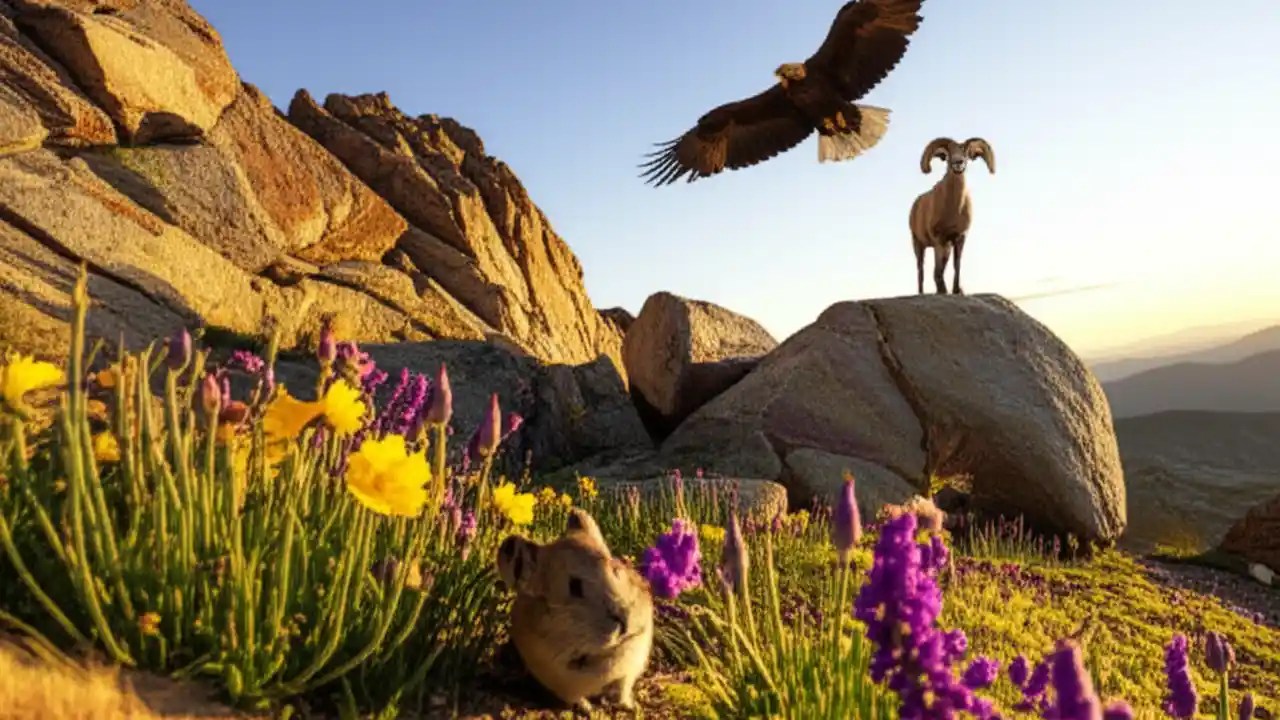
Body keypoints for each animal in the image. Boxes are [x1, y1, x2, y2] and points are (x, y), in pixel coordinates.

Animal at [908, 137, 996, 295]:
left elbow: (956, 265)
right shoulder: (938, 239)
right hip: (918, 244)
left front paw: (956, 290)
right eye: (949, 154)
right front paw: (942, 290)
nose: (958, 162)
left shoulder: (958, 238)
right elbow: (937, 269)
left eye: (966, 153)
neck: (953, 210)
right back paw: (921, 293)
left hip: (945, 247)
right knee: (921, 270)